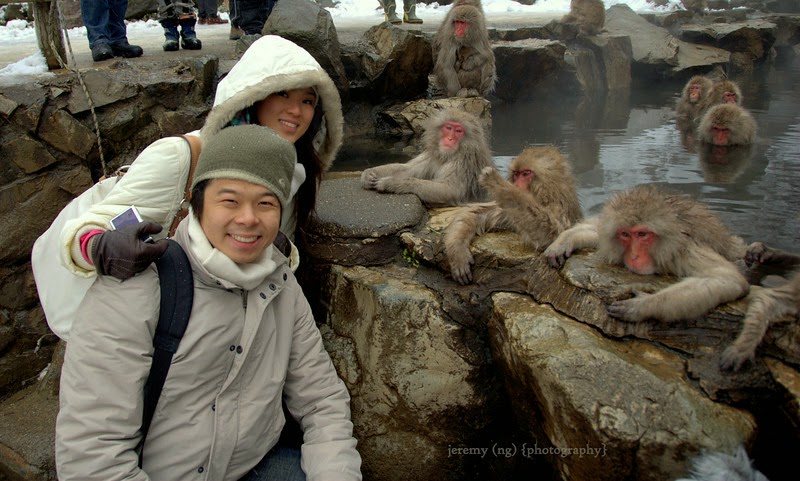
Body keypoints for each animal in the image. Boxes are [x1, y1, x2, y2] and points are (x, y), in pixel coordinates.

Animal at [360, 108, 493, 206]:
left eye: (459, 131)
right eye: (449, 128)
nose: (450, 139)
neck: (447, 156)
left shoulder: (465, 160)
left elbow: (450, 190)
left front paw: (392, 183)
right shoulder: (433, 155)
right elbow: (406, 168)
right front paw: (368, 173)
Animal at [444, 146, 582, 285]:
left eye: (526, 173)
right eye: (516, 174)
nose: (516, 185)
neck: (545, 197)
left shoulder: (559, 208)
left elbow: (551, 233)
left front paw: (496, 182)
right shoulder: (507, 210)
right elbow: (476, 213)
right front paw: (457, 252)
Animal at [543, 185, 749, 323]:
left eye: (642, 234)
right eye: (625, 234)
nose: (634, 256)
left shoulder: (684, 250)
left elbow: (726, 278)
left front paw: (643, 305)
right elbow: (599, 231)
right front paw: (564, 241)